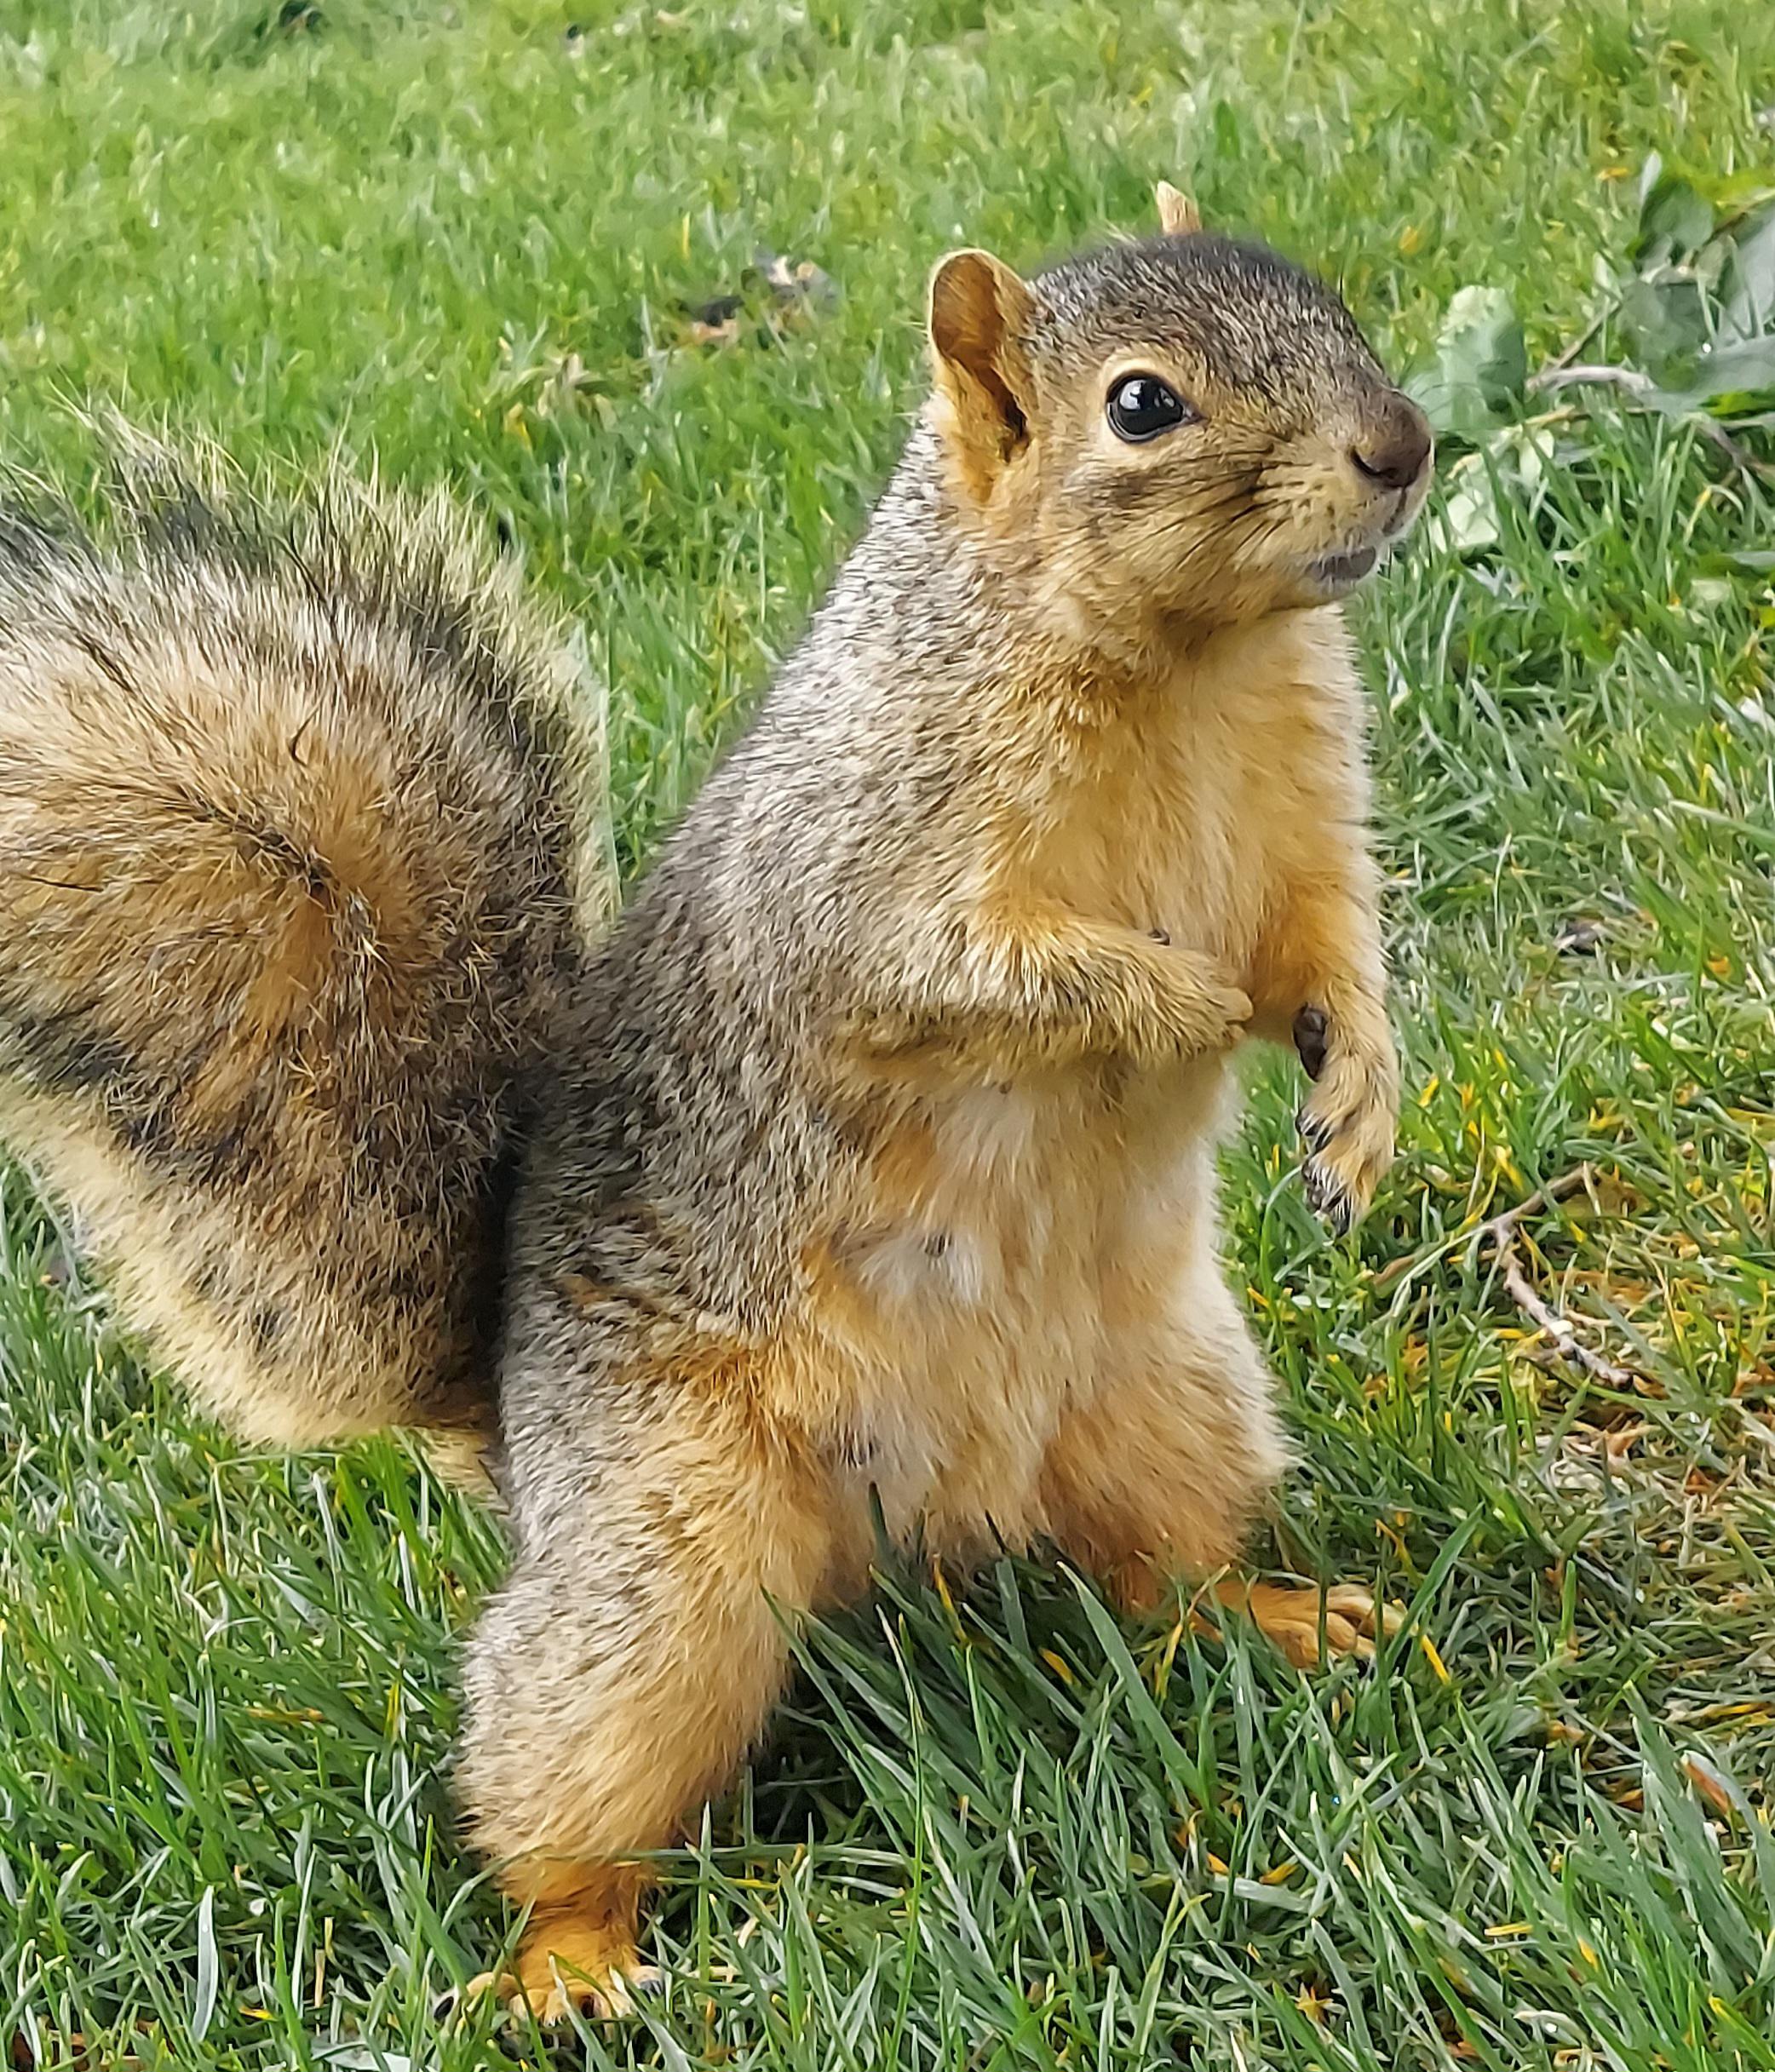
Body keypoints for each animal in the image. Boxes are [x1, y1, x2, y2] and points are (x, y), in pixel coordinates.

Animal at [0, 186, 1431, 2020]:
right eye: (1140, 405)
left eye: (1321, 296)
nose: (1400, 445)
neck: (1190, 666)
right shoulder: (863, 869)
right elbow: (976, 967)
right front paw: (1170, 1001)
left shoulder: (1307, 803)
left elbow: (1334, 938)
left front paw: (1356, 1094)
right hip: (662, 1562)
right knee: (561, 1784)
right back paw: (571, 1958)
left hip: (1175, 1403)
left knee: (1153, 1571)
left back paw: (1276, 1617)